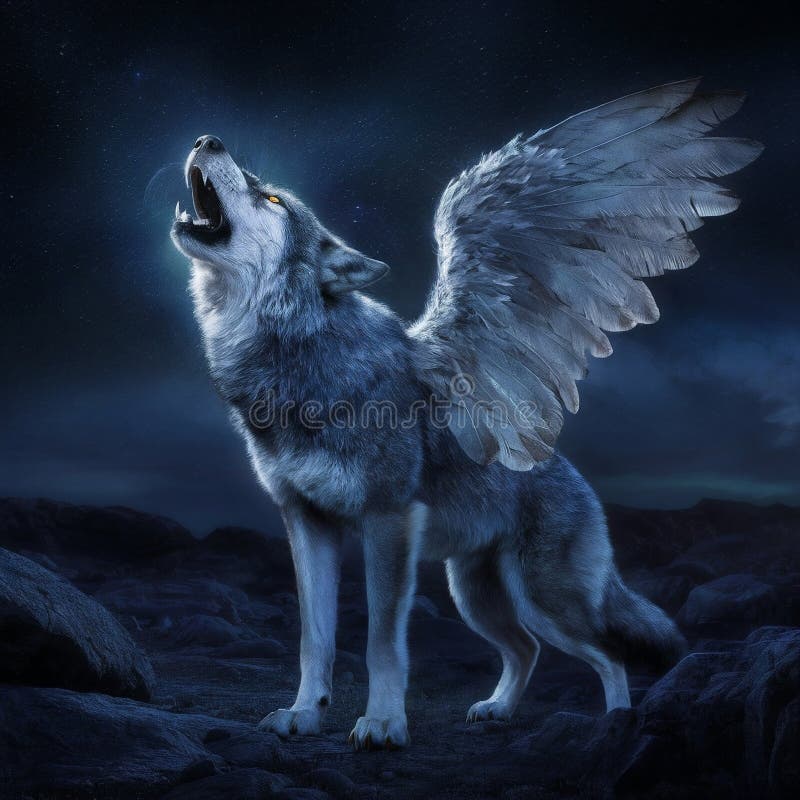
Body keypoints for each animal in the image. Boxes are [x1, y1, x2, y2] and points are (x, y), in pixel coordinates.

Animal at [171, 80, 761, 750]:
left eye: (270, 195)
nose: (207, 139)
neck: (300, 360)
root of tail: (580, 482)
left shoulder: (388, 519)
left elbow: (381, 643)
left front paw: (382, 724)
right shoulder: (306, 522)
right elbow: (313, 641)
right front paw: (304, 714)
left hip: (540, 599)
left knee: (605, 654)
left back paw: (615, 723)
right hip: (475, 596)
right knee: (528, 651)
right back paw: (499, 709)